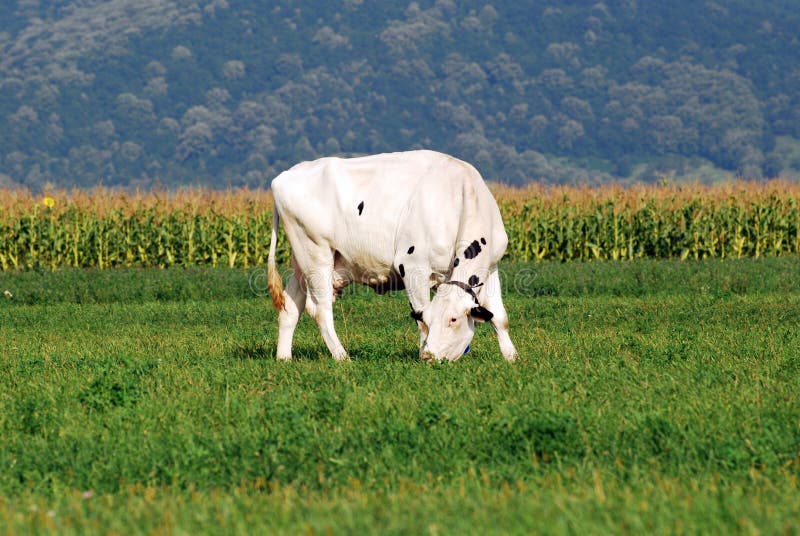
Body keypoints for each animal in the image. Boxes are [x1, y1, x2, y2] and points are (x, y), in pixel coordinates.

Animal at [267, 150, 518, 363]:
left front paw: (512, 357)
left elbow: (500, 317)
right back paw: (342, 357)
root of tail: (284, 176)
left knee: (290, 308)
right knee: (320, 310)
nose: (430, 357)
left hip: (303, 262)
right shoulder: (412, 266)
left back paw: (284, 358)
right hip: (315, 254)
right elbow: (420, 318)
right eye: (431, 319)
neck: (462, 195)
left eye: (453, 319)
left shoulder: (491, 268)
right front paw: (421, 352)